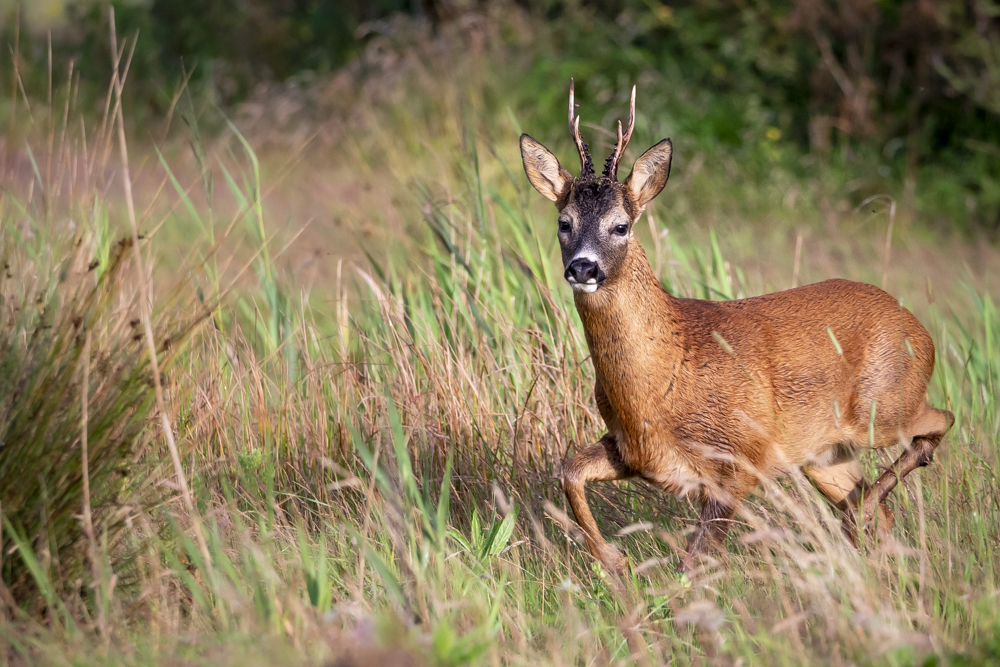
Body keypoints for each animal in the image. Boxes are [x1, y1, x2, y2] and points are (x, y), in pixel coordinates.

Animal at [520, 80, 955, 574]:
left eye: (622, 226)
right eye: (564, 222)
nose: (583, 267)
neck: (666, 373)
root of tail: (919, 329)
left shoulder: (740, 461)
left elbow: (694, 563)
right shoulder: (632, 449)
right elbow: (569, 471)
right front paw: (615, 560)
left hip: (883, 408)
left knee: (940, 420)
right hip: (826, 454)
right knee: (879, 508)